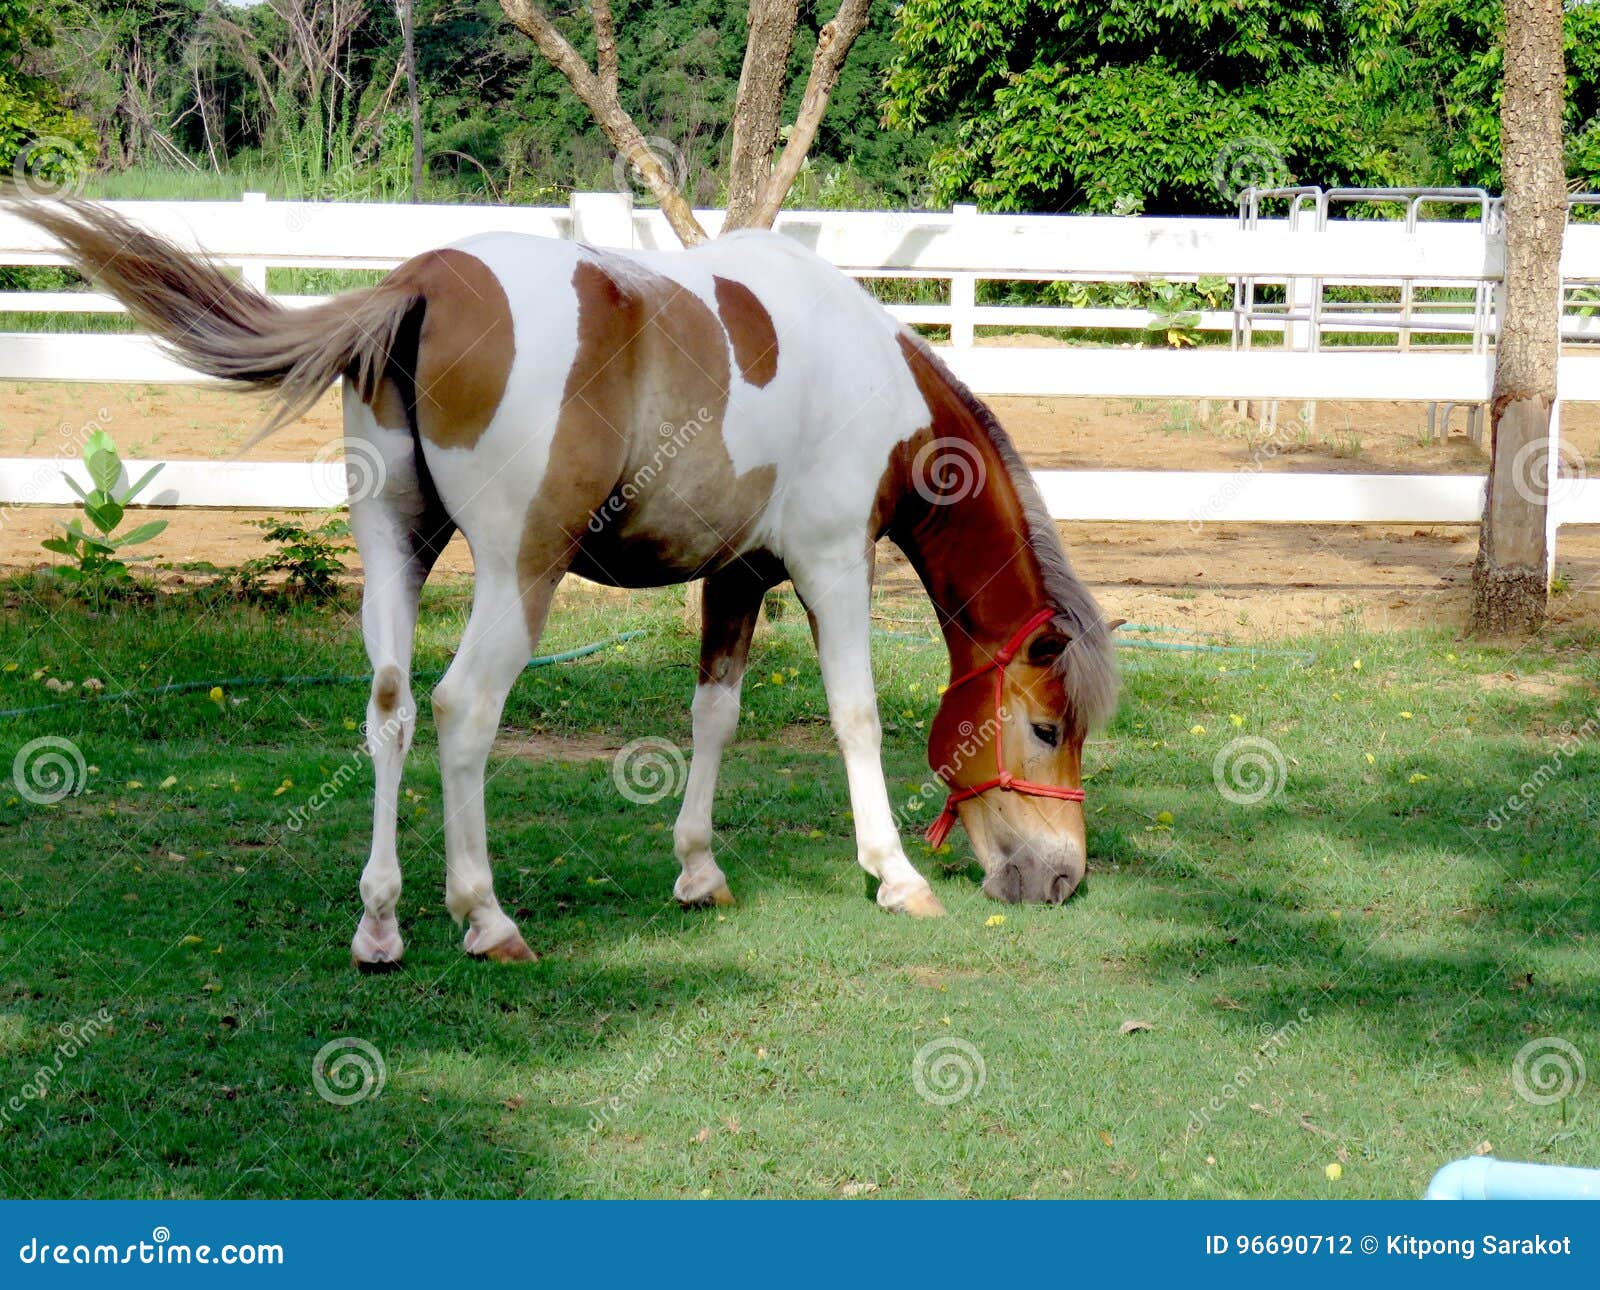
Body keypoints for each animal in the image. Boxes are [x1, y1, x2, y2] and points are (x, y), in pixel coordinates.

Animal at [18, 198, 1119, 969]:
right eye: (1045, 728)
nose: (1061, 876)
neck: (871, 382)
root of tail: (422, 280)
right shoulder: (830, 563)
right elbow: (854, 715)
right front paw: (893, 874)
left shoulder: (737, 575)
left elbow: (713, 715)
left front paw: (698, 869)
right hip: (520, 573)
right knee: (461, 710)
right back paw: (485, 917)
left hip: (396, 551)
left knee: (390, 710)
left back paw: (380, 926)